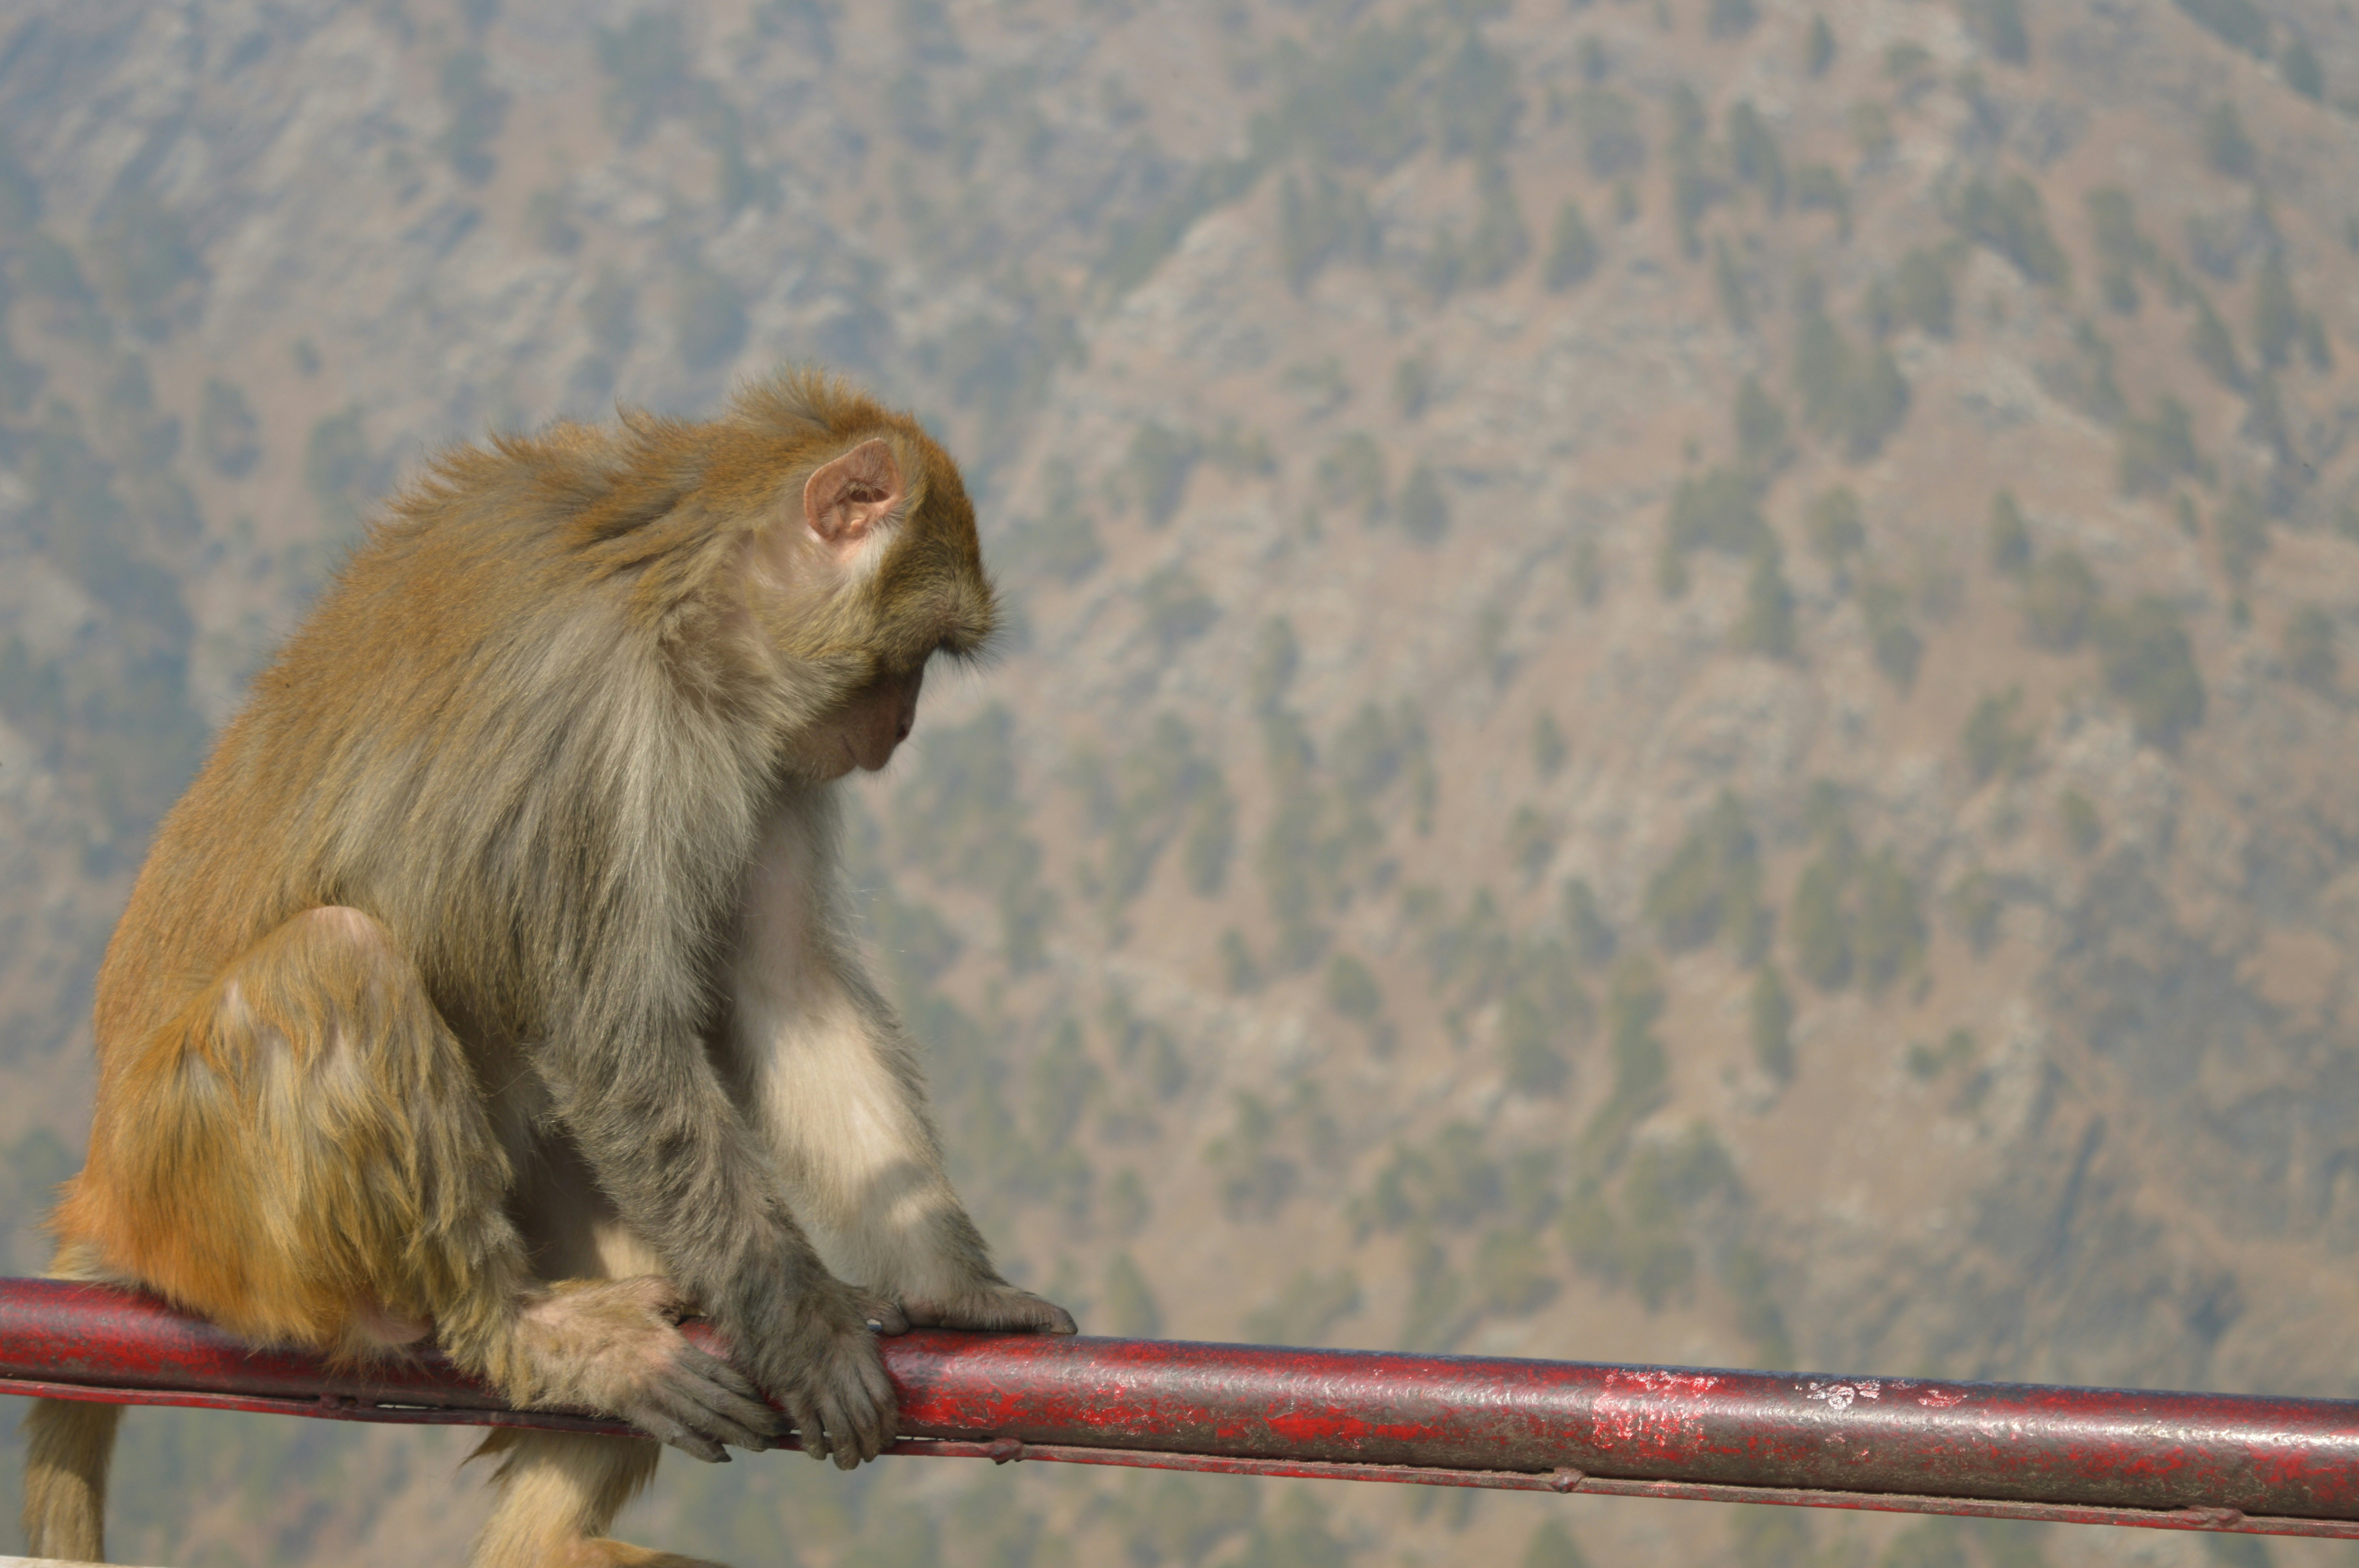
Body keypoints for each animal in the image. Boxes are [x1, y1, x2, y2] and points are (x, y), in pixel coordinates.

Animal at [22, 369, 1077, 1568]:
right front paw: (805, 1331)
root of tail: (105, 1195)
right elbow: (611, 1038)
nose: (895, 730)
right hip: (207, 1194)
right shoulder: (601, 722)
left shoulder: (767, 743)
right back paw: (518, 1332)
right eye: (914, 658)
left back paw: (551, 1535)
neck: (686, 608)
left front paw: (955, 1291)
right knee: (341, 963)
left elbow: (788, 990)